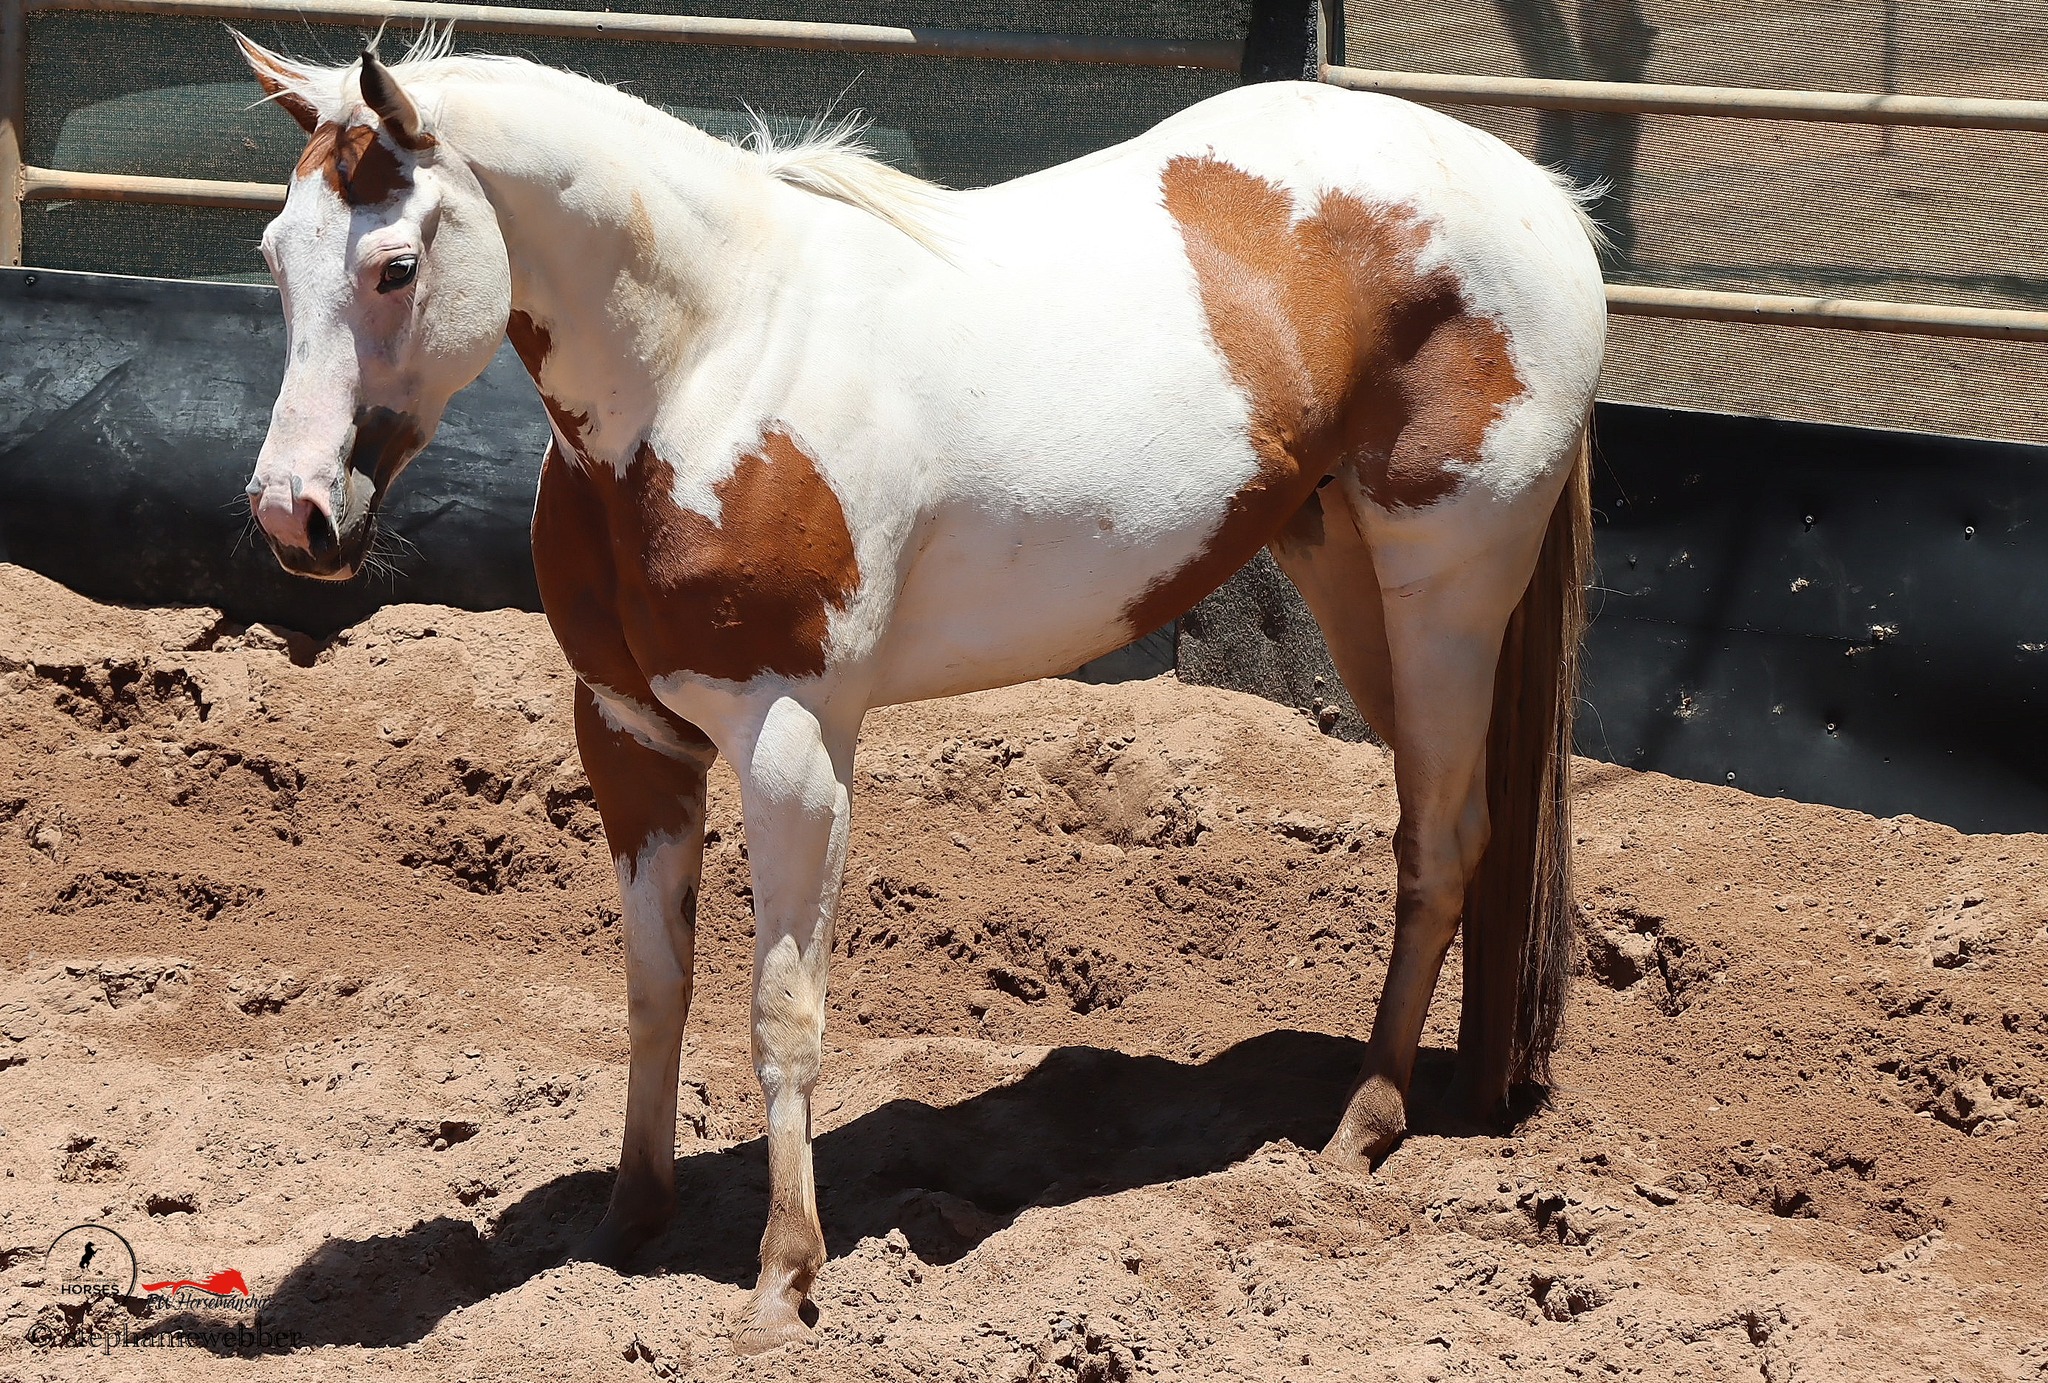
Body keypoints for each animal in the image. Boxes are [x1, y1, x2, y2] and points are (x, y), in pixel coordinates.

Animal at [231, 32, 1605, 1352]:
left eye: (393, 267)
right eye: (274, 257)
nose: (293, 517)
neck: (713, 363)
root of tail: (1533, 197)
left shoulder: (790, 743)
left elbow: (781, 1011)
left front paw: (783, 1279)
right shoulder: (627, 734)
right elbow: (652, 986)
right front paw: (627, 1222)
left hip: (1444, 588)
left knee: (1443, 838)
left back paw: (1363, 1125)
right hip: (1344, 573)